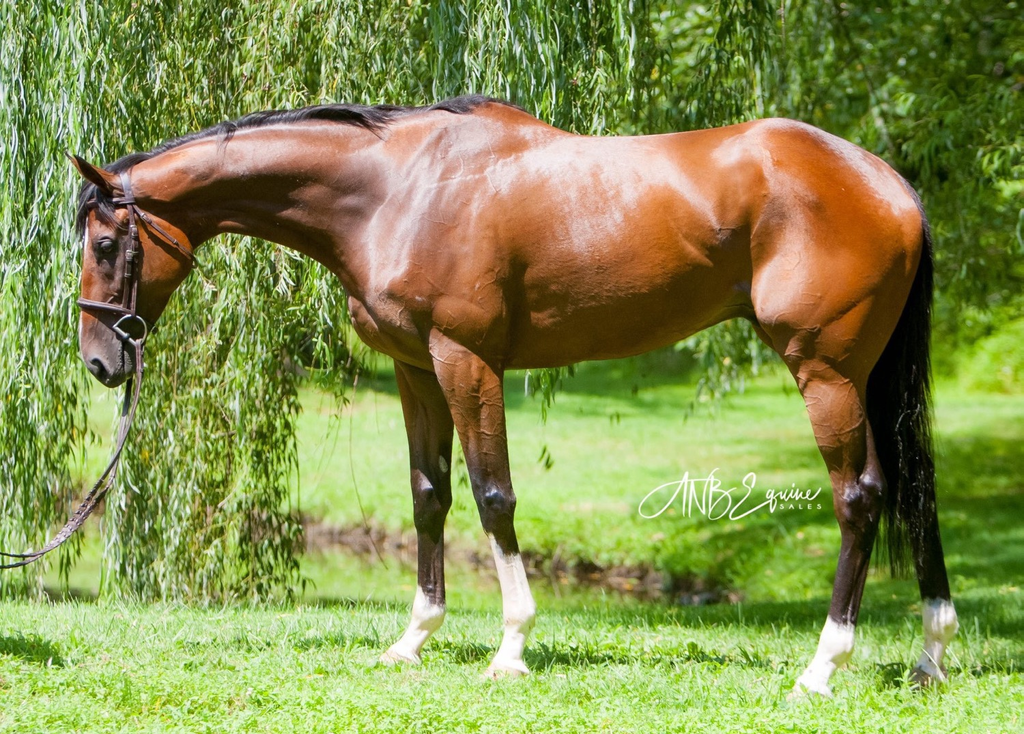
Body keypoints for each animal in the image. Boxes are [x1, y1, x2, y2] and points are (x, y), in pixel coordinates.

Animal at [70, 95, 957, 695]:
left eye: (107, 242)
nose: (101, 363)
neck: (395, 191)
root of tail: (892, 185)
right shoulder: (415, 369)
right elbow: (430, 495)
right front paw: (414, 638)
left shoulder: (466, 362)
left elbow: (493, 495)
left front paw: (511, 647)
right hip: (868, 376)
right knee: (913, 490)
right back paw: (930, 653)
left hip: (825, 372)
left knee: (860, 496)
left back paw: (823, 666)